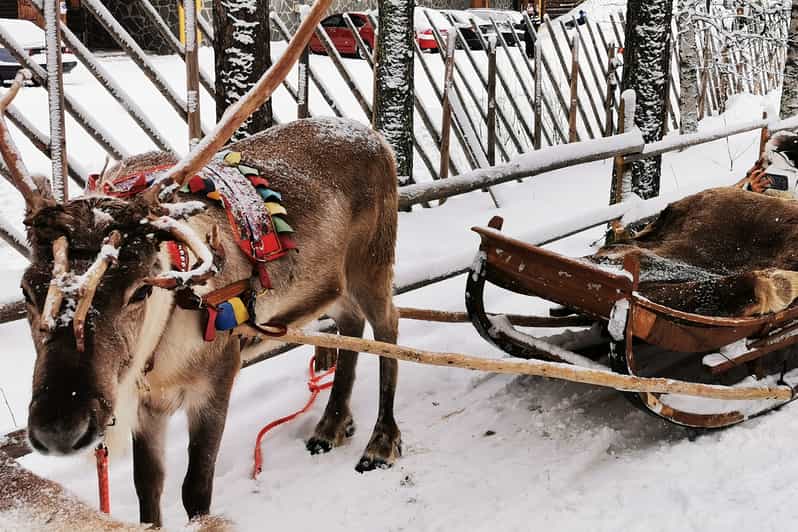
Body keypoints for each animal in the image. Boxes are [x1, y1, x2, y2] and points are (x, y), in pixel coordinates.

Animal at [1, 0, 402, 526]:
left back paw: (381, 442)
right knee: (352, 326)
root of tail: (378, 139)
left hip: (373, 263)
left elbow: (196, 490)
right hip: (331, 284)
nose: (59, 429)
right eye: (28, 289)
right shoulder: (148, 404)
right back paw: (331, 425)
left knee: (389, 329)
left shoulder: (216, 379)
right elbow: (148, 491)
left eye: (140, 288)